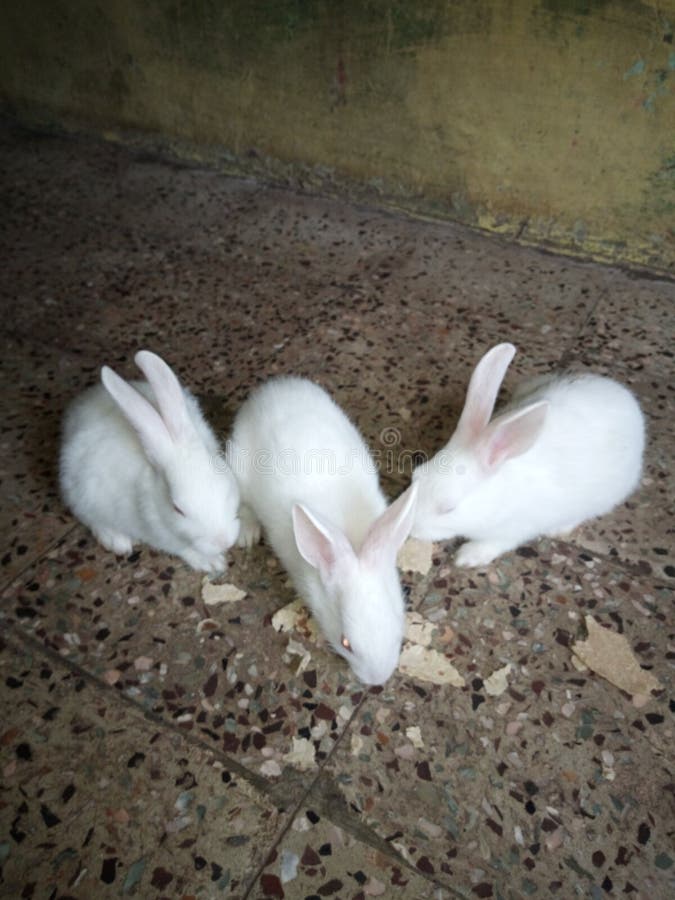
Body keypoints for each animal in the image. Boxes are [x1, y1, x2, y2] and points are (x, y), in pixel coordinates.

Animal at [60, 350, 240, 573]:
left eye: (226, 488)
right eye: (177, 509)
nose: (224, 541)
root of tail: (77, 409)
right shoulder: (157, 534)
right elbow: (183, 549)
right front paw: (213, 563)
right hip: (81, 493)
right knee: (90, 518)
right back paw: (118, 541)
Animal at [226, 376, 418, 686]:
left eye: (398, 626)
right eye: (346, 643)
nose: (377, 681)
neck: (353, 541)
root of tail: (270, 388)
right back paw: (248, 533)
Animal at [411, 342, 645, 567]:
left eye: (449, 508)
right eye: (416, 475)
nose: (412, 530)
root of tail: (627, 399)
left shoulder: (513, 530)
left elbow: (492, 543)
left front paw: (467, 557)